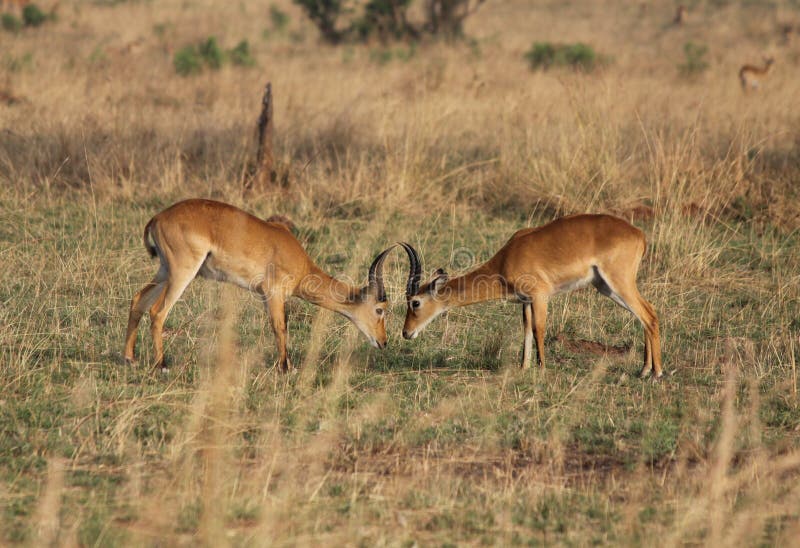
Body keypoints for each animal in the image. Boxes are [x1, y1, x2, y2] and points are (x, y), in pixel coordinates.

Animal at [124, 199, 397, 372]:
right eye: (380, 309)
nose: (384, 342)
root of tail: (157, 218)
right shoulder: (274, 294)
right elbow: (280, 327)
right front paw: (286, 368)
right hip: (182, 272)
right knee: (157, 312)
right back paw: (162, 365)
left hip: (164, 271)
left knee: (138, 299)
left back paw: (130, 359)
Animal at [399, 214, 662, 378]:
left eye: (415, 303)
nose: (406, 333)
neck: (506, 260)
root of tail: (639, 234)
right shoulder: (525, 301)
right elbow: (526, 330)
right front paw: (524, 368)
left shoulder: (540, 296)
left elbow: (539, 330)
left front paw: (542, 368)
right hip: (606, 287)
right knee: (645, 315)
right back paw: (644, 370)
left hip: (619, 283)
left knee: (649, 315)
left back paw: (656, 373)